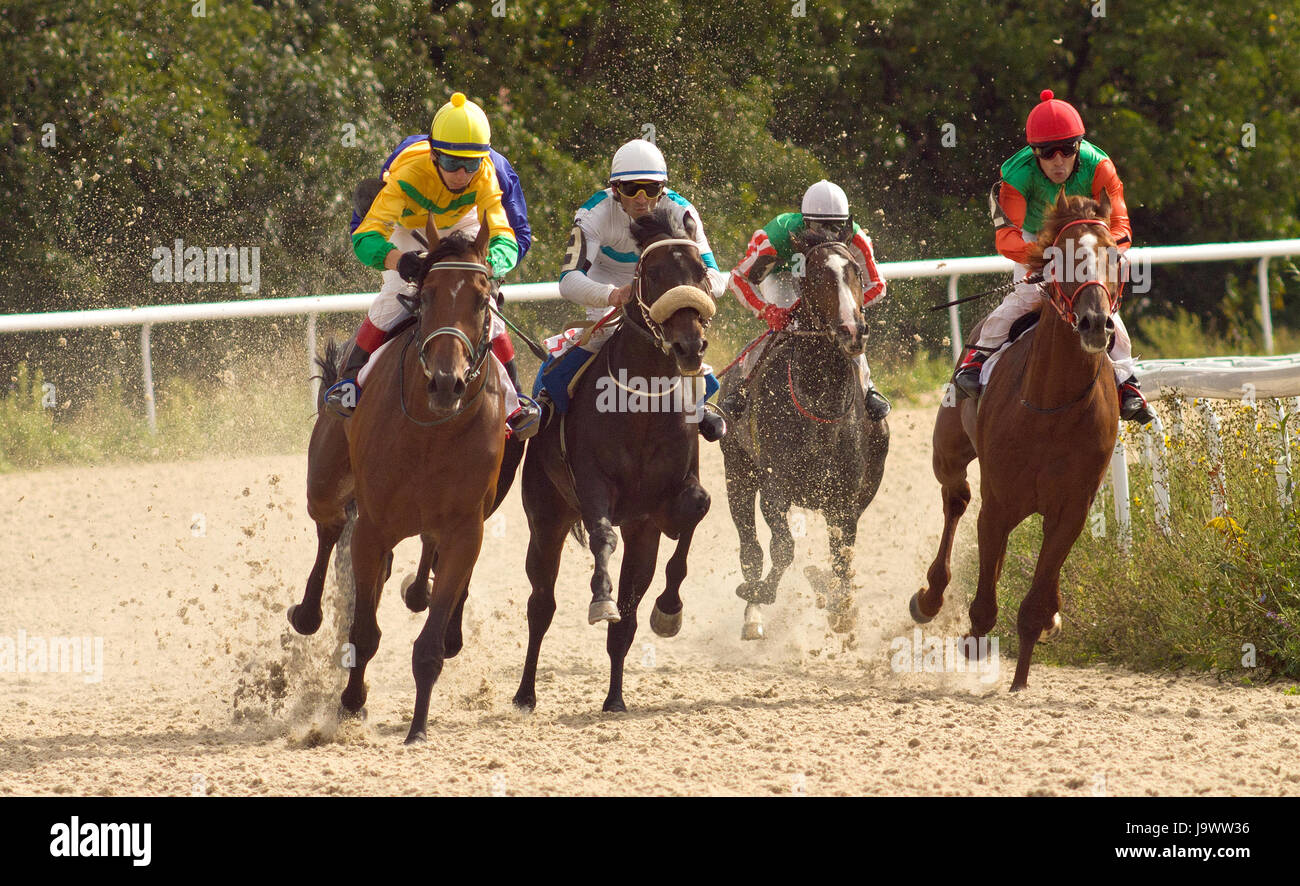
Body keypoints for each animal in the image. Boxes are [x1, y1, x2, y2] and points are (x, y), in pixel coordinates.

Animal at [290, 220, 522, 743]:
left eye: (482, 300)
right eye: (427, 295)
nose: (446, 382)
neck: (432, 429)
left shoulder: (465, 529)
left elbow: (430, 643)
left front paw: (417, 727)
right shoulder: (373, 527)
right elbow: (363, 631)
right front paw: (351, 703)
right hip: (325, 482)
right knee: (329, 529)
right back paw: (308, 613)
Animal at [512, 206, 715, 713]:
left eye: (700, 272)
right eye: (652, 274)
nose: (690, 347)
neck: (640, 404)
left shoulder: (653, 514)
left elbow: (694, 510)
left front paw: (669, 610)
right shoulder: (593, 485)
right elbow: (604, 535)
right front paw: (599, 597)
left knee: (626, 622)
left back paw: (615, 698)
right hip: (546, 518)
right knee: (540, 607)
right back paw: (525, 693)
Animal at [717, 230, 890, 639]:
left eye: (856, 270)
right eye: (814, 276)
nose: (852, 330)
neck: (820, 407)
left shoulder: (844, 500)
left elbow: (842, 555)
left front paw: (841, 607)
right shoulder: (774, 489)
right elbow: (782, 548)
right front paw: (759, 593)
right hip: (737, 472)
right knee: (750, 546)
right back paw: (752, 614)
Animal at [910, 191, 1123, 691]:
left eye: (1114, 255)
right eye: (1057, 257)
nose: (1095, 324)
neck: (1054, 408)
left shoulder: (1072, 508)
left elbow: (1035, 597)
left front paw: (1022, 677)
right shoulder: (999, 502)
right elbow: (985, 602)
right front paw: (976, 645)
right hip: (948, 452)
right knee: (955, 499)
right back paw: (930, 596)